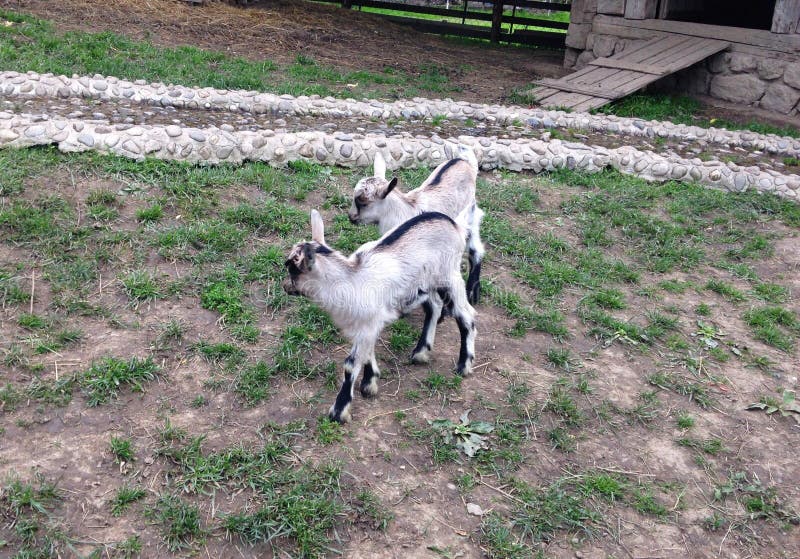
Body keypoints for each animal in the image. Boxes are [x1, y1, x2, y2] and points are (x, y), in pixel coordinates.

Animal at [283, 208, 477, 423]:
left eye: (292, 268)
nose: (285, 286)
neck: (351, 281)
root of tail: (455, 225)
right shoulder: (365, 325)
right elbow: (367, 353)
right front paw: (370, 384)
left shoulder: (368, 325)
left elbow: (351, 364)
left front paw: (339, 412)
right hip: (425, 284)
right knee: (434, 307)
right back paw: (420, 353)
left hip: (449, 276)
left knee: (466, 316)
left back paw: (463, 365)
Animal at [348, 146, 485, 304]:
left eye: (363, 202)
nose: (351, 217)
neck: (405, 209)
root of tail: (465, 163)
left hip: (469, 212)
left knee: (475, 246)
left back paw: (473, 292)